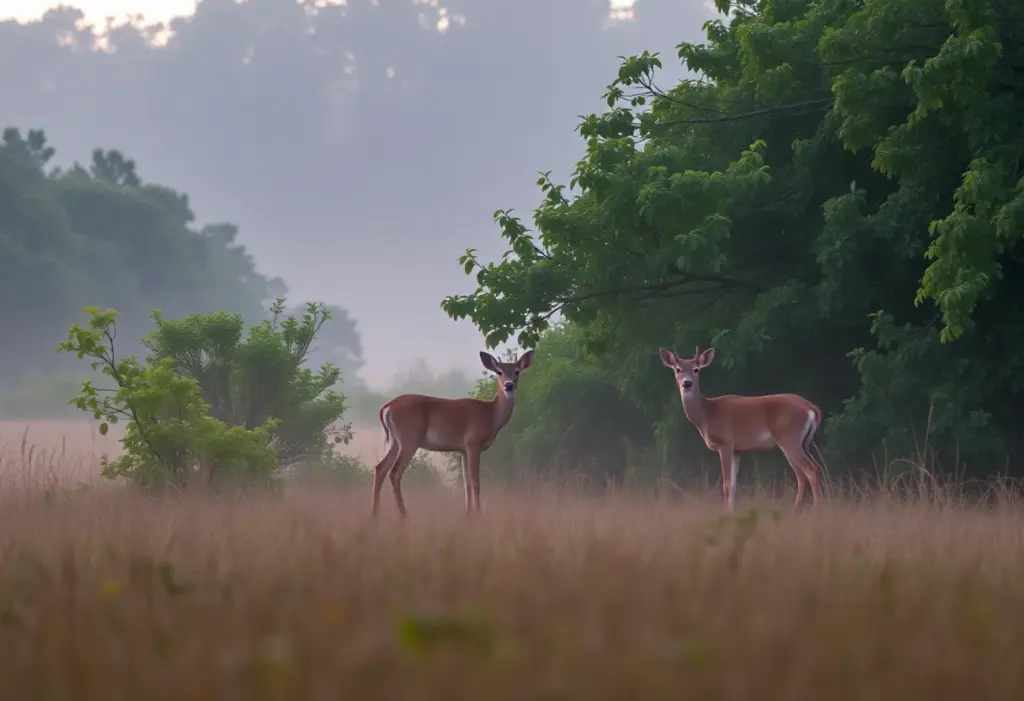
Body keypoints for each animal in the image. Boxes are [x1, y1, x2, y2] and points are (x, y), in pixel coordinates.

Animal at [371, 349, 535, 519]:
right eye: (499, 371)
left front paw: (468, 514)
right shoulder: (472, 443)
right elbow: (475, 482)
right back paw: (403, 515)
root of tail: (388, 406)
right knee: (394, 472)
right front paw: (478, 514)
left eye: (517, 371)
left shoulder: (462, 449)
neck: (491, 414)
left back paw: (375, 514)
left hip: (394, 441)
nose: (509, 385)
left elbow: (466, 484)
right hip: (408, 439)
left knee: (380, 468)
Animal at [659, 346, 823, 513]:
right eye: (678, 369)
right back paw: (796, 510)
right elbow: (732, 486)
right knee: (805, 472)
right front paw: (731, 512)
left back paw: (816, 510)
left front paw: (726, 513)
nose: (687, 383)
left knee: (811, 470)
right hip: (802, 442)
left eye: (696, 369)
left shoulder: (725, 442)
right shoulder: (737, 450)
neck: (707, 414)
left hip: (789, 438)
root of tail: (811, 408)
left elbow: (726, 484)